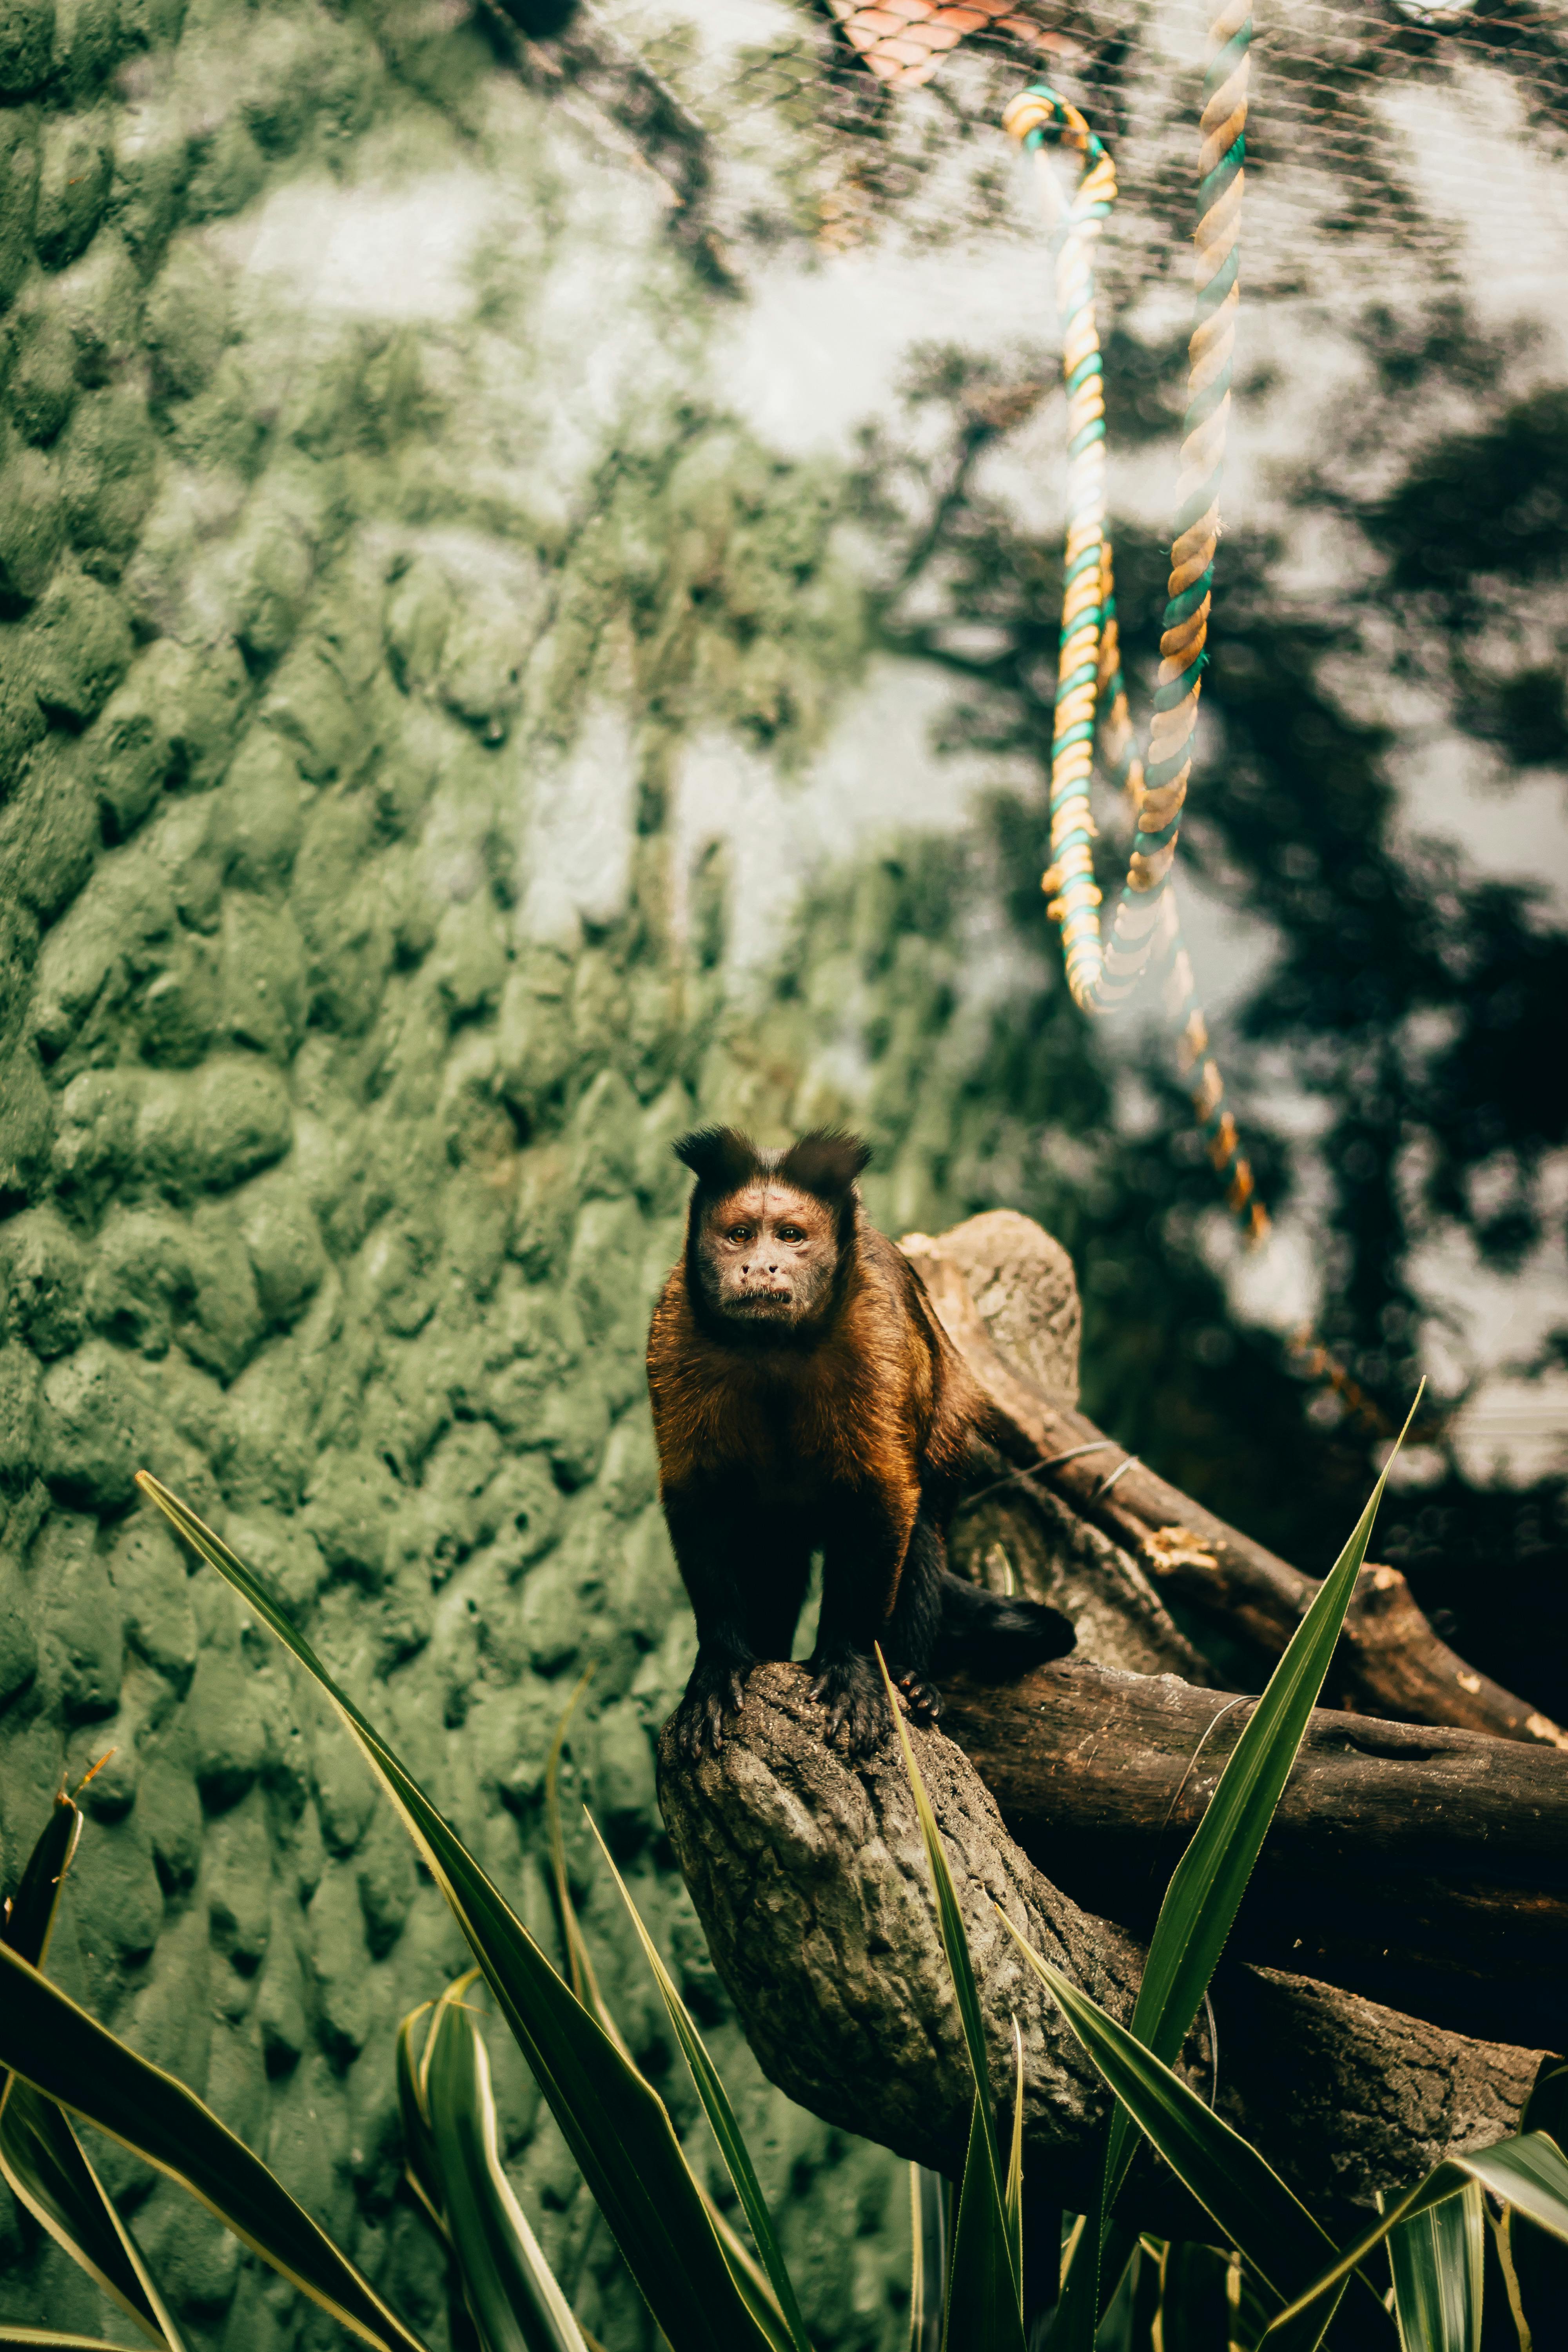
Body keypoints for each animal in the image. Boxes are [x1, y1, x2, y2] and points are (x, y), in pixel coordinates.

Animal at [645, 1125, 1076, 1759]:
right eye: (740, 1234)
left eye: (791, 1236)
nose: (761, 1266)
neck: (776, 1349)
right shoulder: (675, 1331)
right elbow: (699, 1502)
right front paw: (720, 1664)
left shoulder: (874, 1334)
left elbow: (883, 1501)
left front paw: (851, 1667)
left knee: (920, 1530)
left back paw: (912, 1678)